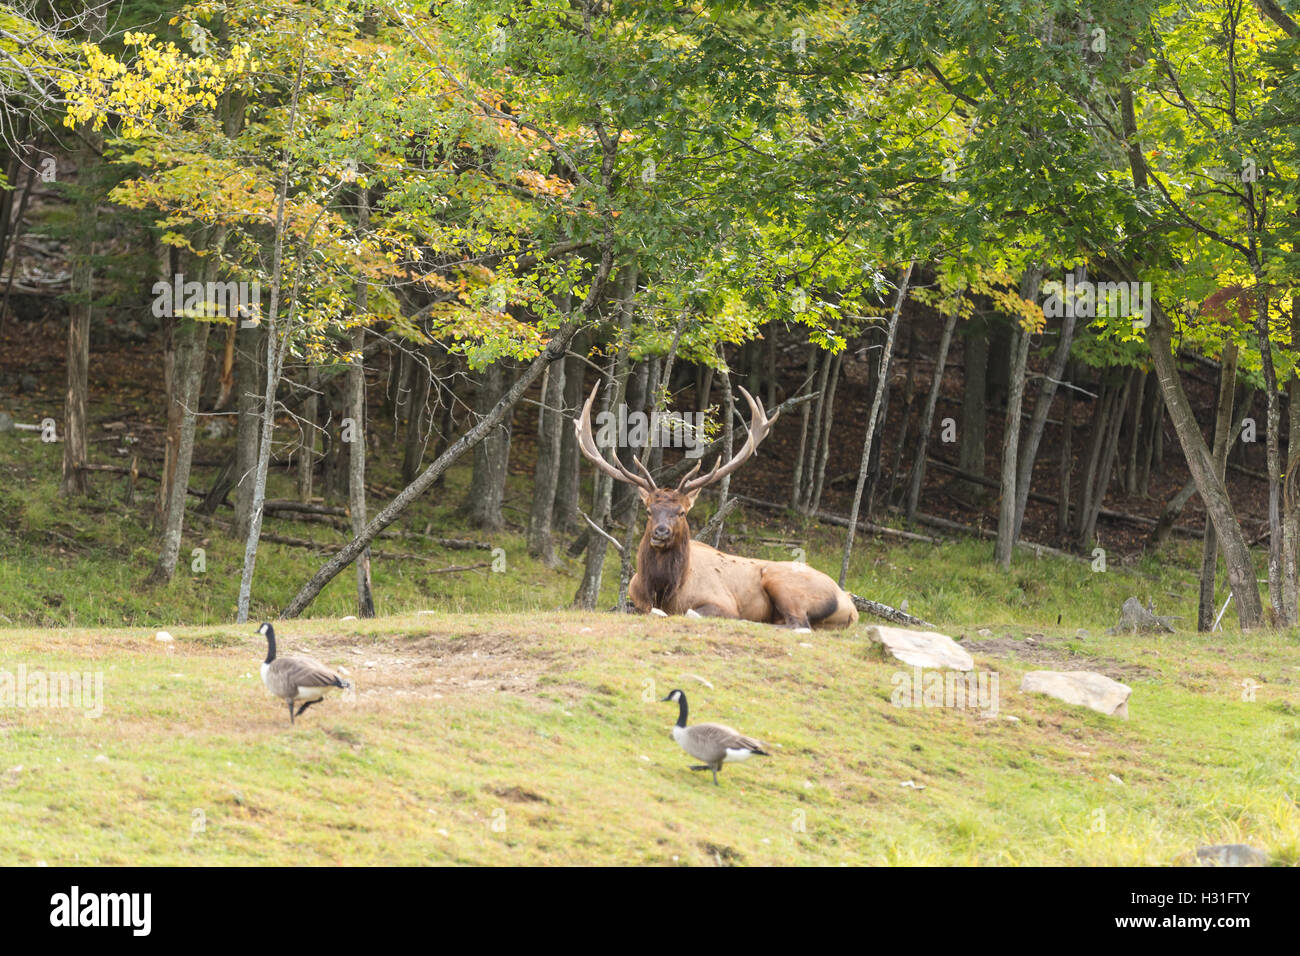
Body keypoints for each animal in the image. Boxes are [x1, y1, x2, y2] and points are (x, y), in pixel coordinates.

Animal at [575, 383, 859, 630]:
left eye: (682, 512)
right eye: (648, 511)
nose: (660, 532)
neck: (663, 590)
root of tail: (850, 604)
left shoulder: (721, 601)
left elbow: (689, 612)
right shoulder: (634, 598)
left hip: (783, 581)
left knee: (798, 624)